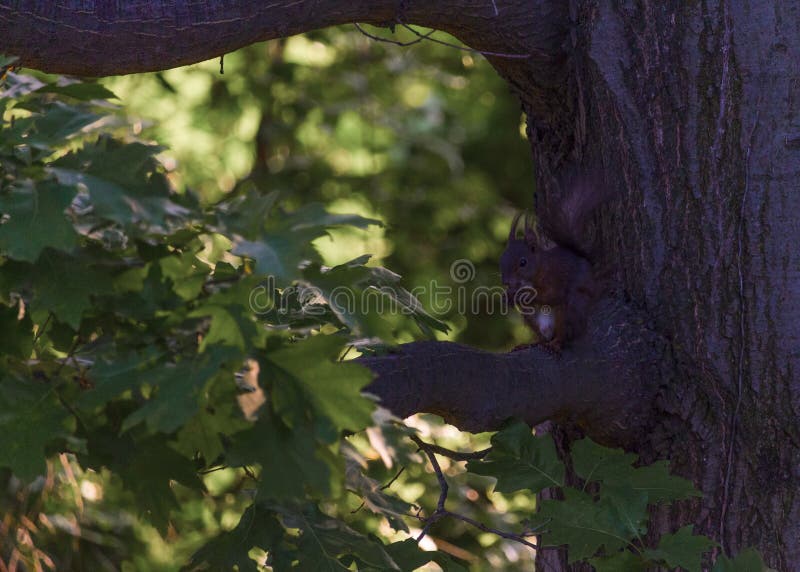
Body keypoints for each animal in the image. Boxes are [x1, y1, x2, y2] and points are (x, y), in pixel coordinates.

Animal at [500, 172, 610, 351]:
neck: (539, 269)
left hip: (568, 310)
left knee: (563, 332)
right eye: (501, 259)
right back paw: (533, 343)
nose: (506, 282)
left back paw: (556, 343)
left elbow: (550, 295)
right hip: (531, 318)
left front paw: (520, 295)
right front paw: (507, 296)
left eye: (523, 262)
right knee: (542, 337)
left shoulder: (555, 277)